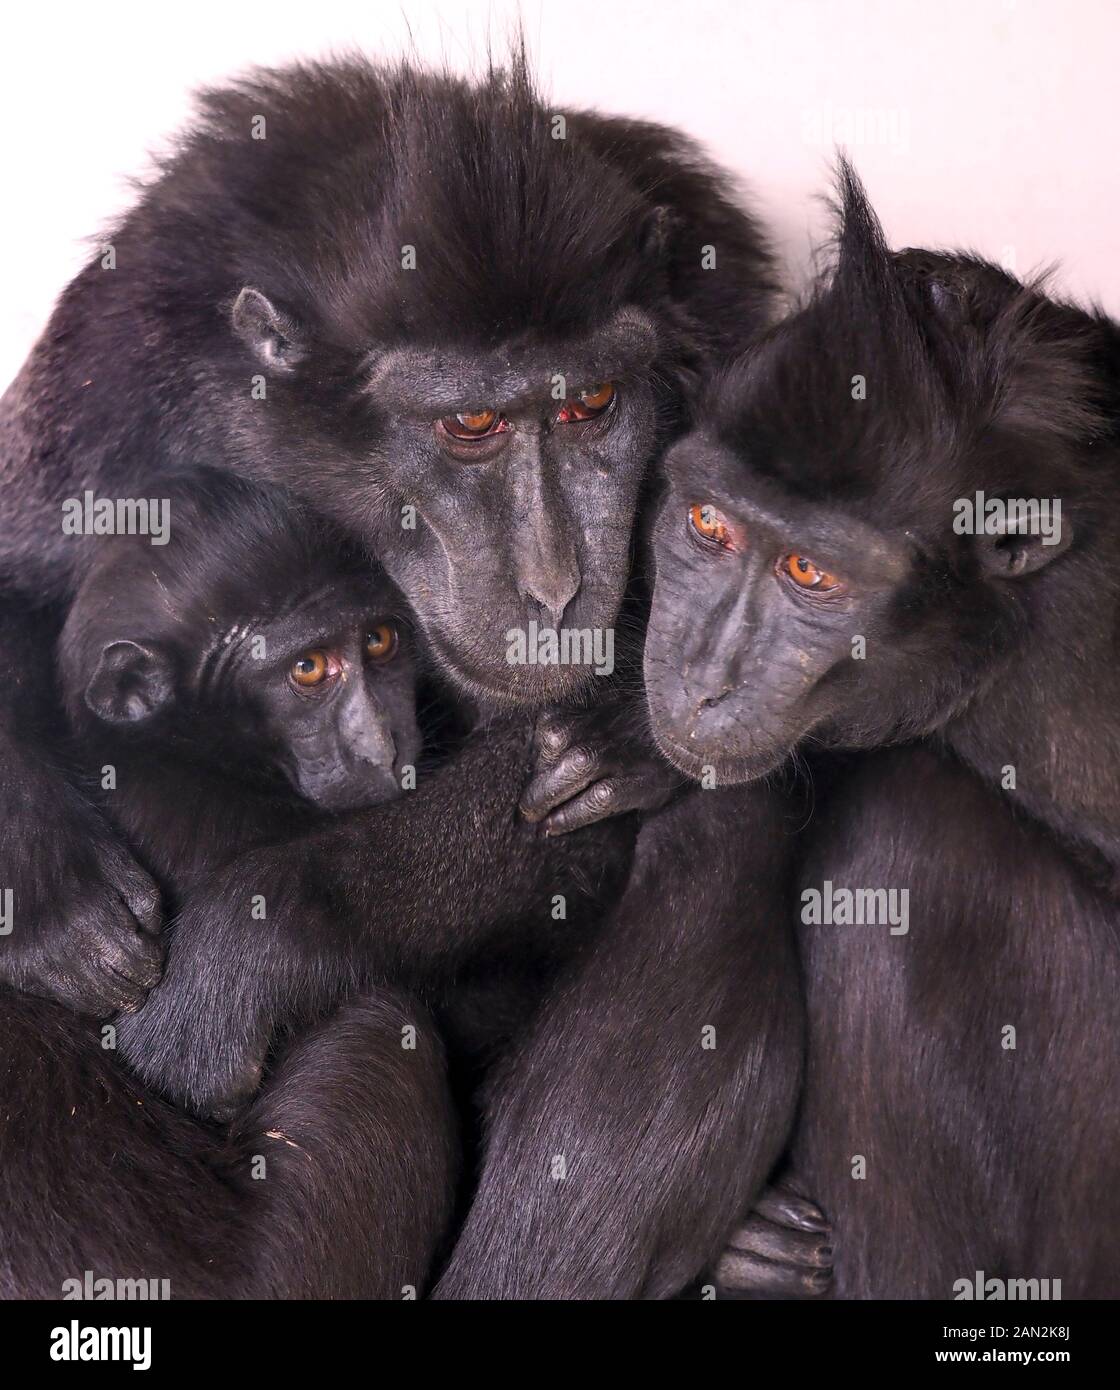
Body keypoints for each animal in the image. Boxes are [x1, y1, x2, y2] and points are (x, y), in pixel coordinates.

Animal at [0, 50, 812, 1297]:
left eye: (591, 406)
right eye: (469, 424)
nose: (552, 584)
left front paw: (252, 948)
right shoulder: (107, 374)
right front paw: (44, 876)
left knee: (720, 820)